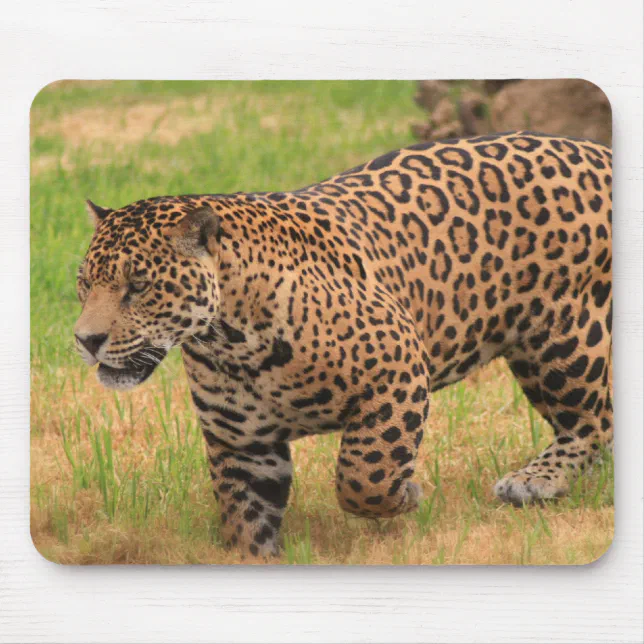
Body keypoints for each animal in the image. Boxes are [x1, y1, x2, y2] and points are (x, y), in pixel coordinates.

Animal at [74, 131, 613, 558]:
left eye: (139, 286)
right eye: (84, 283)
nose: (85, 339)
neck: (230, 341)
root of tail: (599, 150)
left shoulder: (398, 373)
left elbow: (363, 475)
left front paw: (406, 495)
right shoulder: (243, 445)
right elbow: (245, 521)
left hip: (565, 340)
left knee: (593, 423)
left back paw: (533, 482)